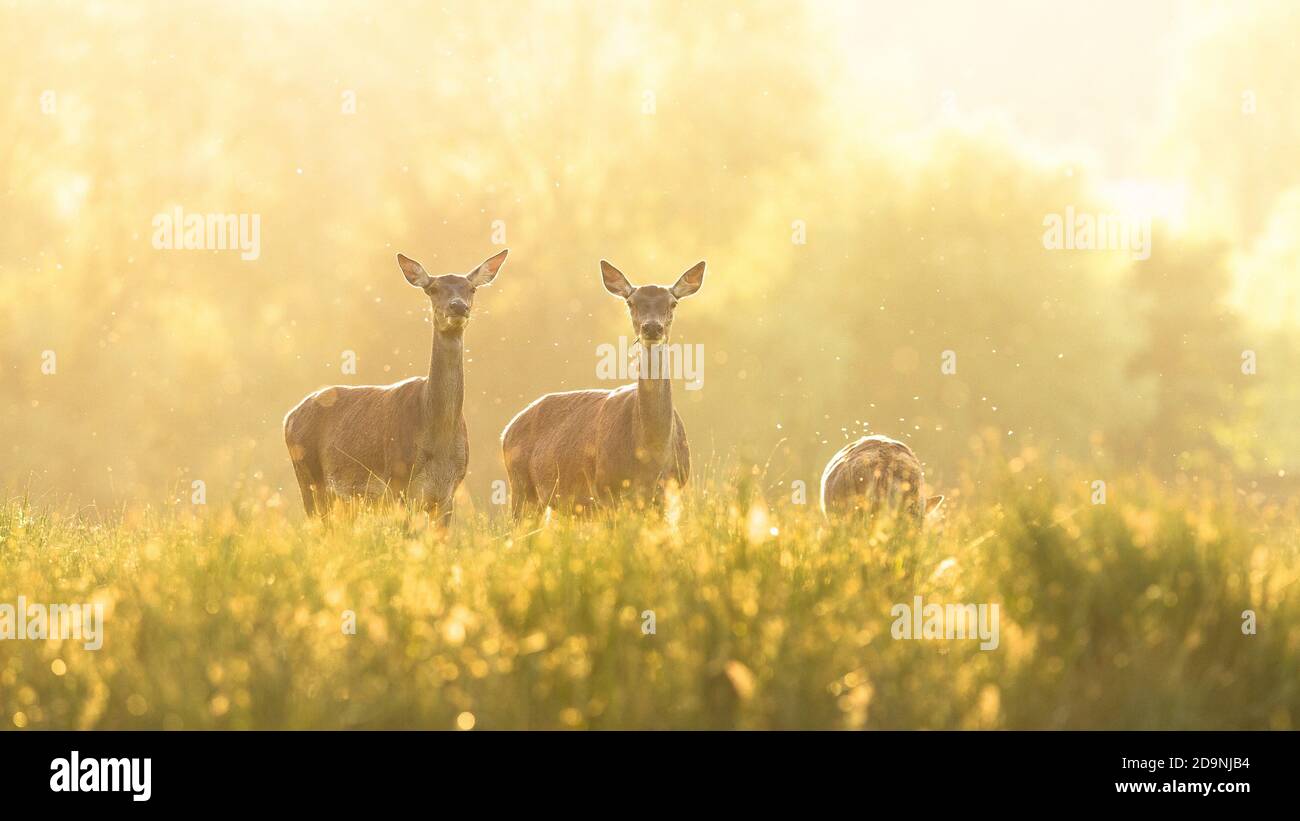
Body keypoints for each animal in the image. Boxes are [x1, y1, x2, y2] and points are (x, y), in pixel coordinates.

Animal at [283, 249, 508, 523]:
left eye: (471, 289)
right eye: (432, 289)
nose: (458, 306)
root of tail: (288, 416)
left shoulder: (447, 494)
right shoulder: (398, 484)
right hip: (310, 479)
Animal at [500, 259, 706, 520]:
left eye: (673, 303)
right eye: (631, 302)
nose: (652, 328)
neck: (652, 453)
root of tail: (506, 431)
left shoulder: (670, 491)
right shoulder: (606, 490)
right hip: (521, 487)